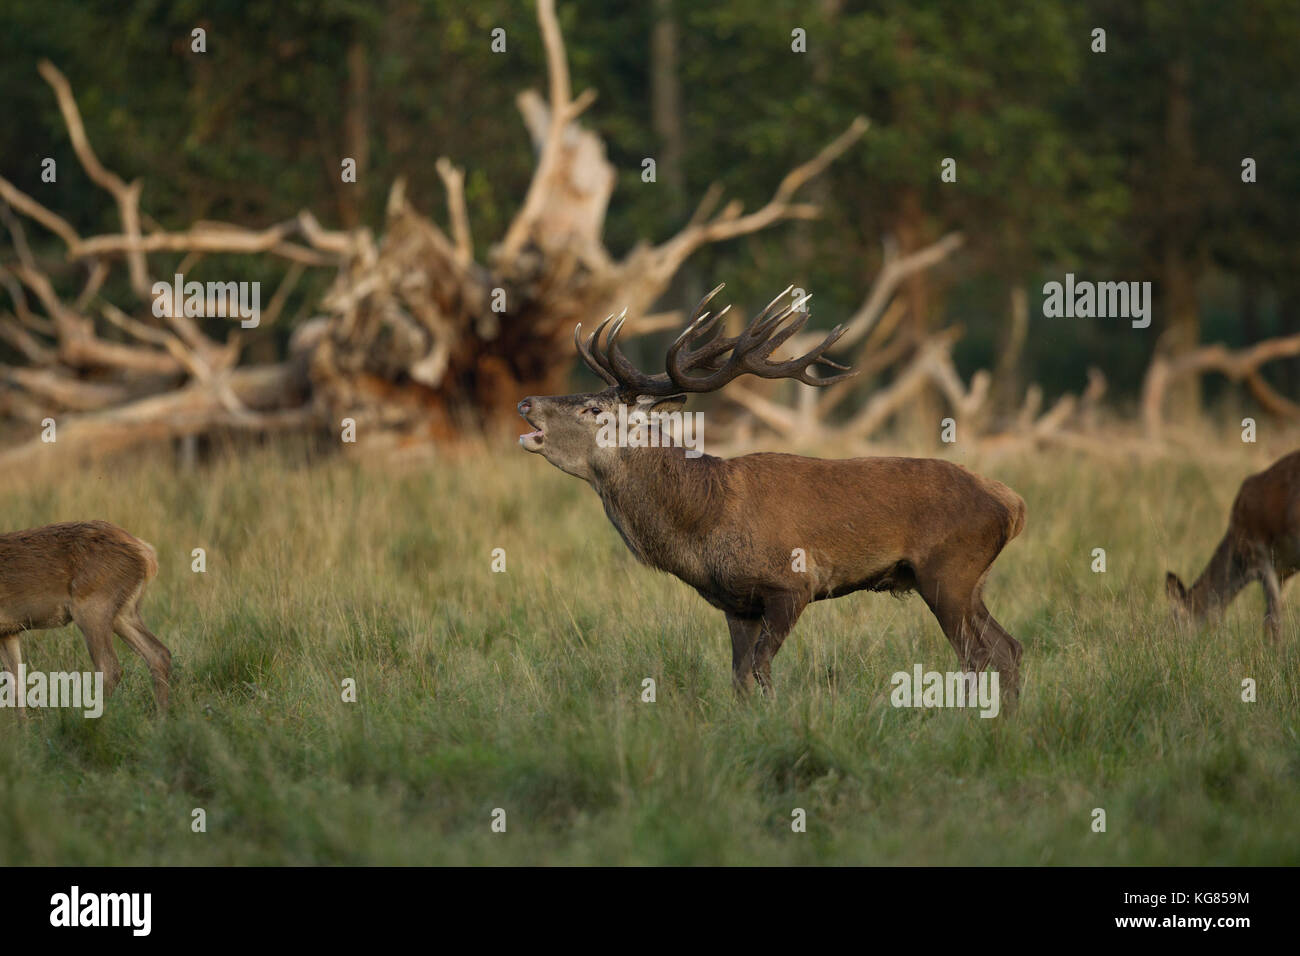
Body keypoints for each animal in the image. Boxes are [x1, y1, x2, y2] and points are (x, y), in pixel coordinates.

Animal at [0, 520, 171, 716]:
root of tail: (147, 554)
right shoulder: (8, 631)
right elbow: (15, 686)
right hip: (124, 613)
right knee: (158, 654)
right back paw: (162, 718)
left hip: (92, 608)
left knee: (109, 668)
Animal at [517, 284, 1027, 699]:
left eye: (594, 409)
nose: (525, 402)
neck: (704, 521)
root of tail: (1012, 502)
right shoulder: (736, 604)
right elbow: (739, 678)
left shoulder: (793, 584)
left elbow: (761, 670)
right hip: (970, 582)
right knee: (1010, 649)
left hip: (948, 572)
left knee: (978, 656)